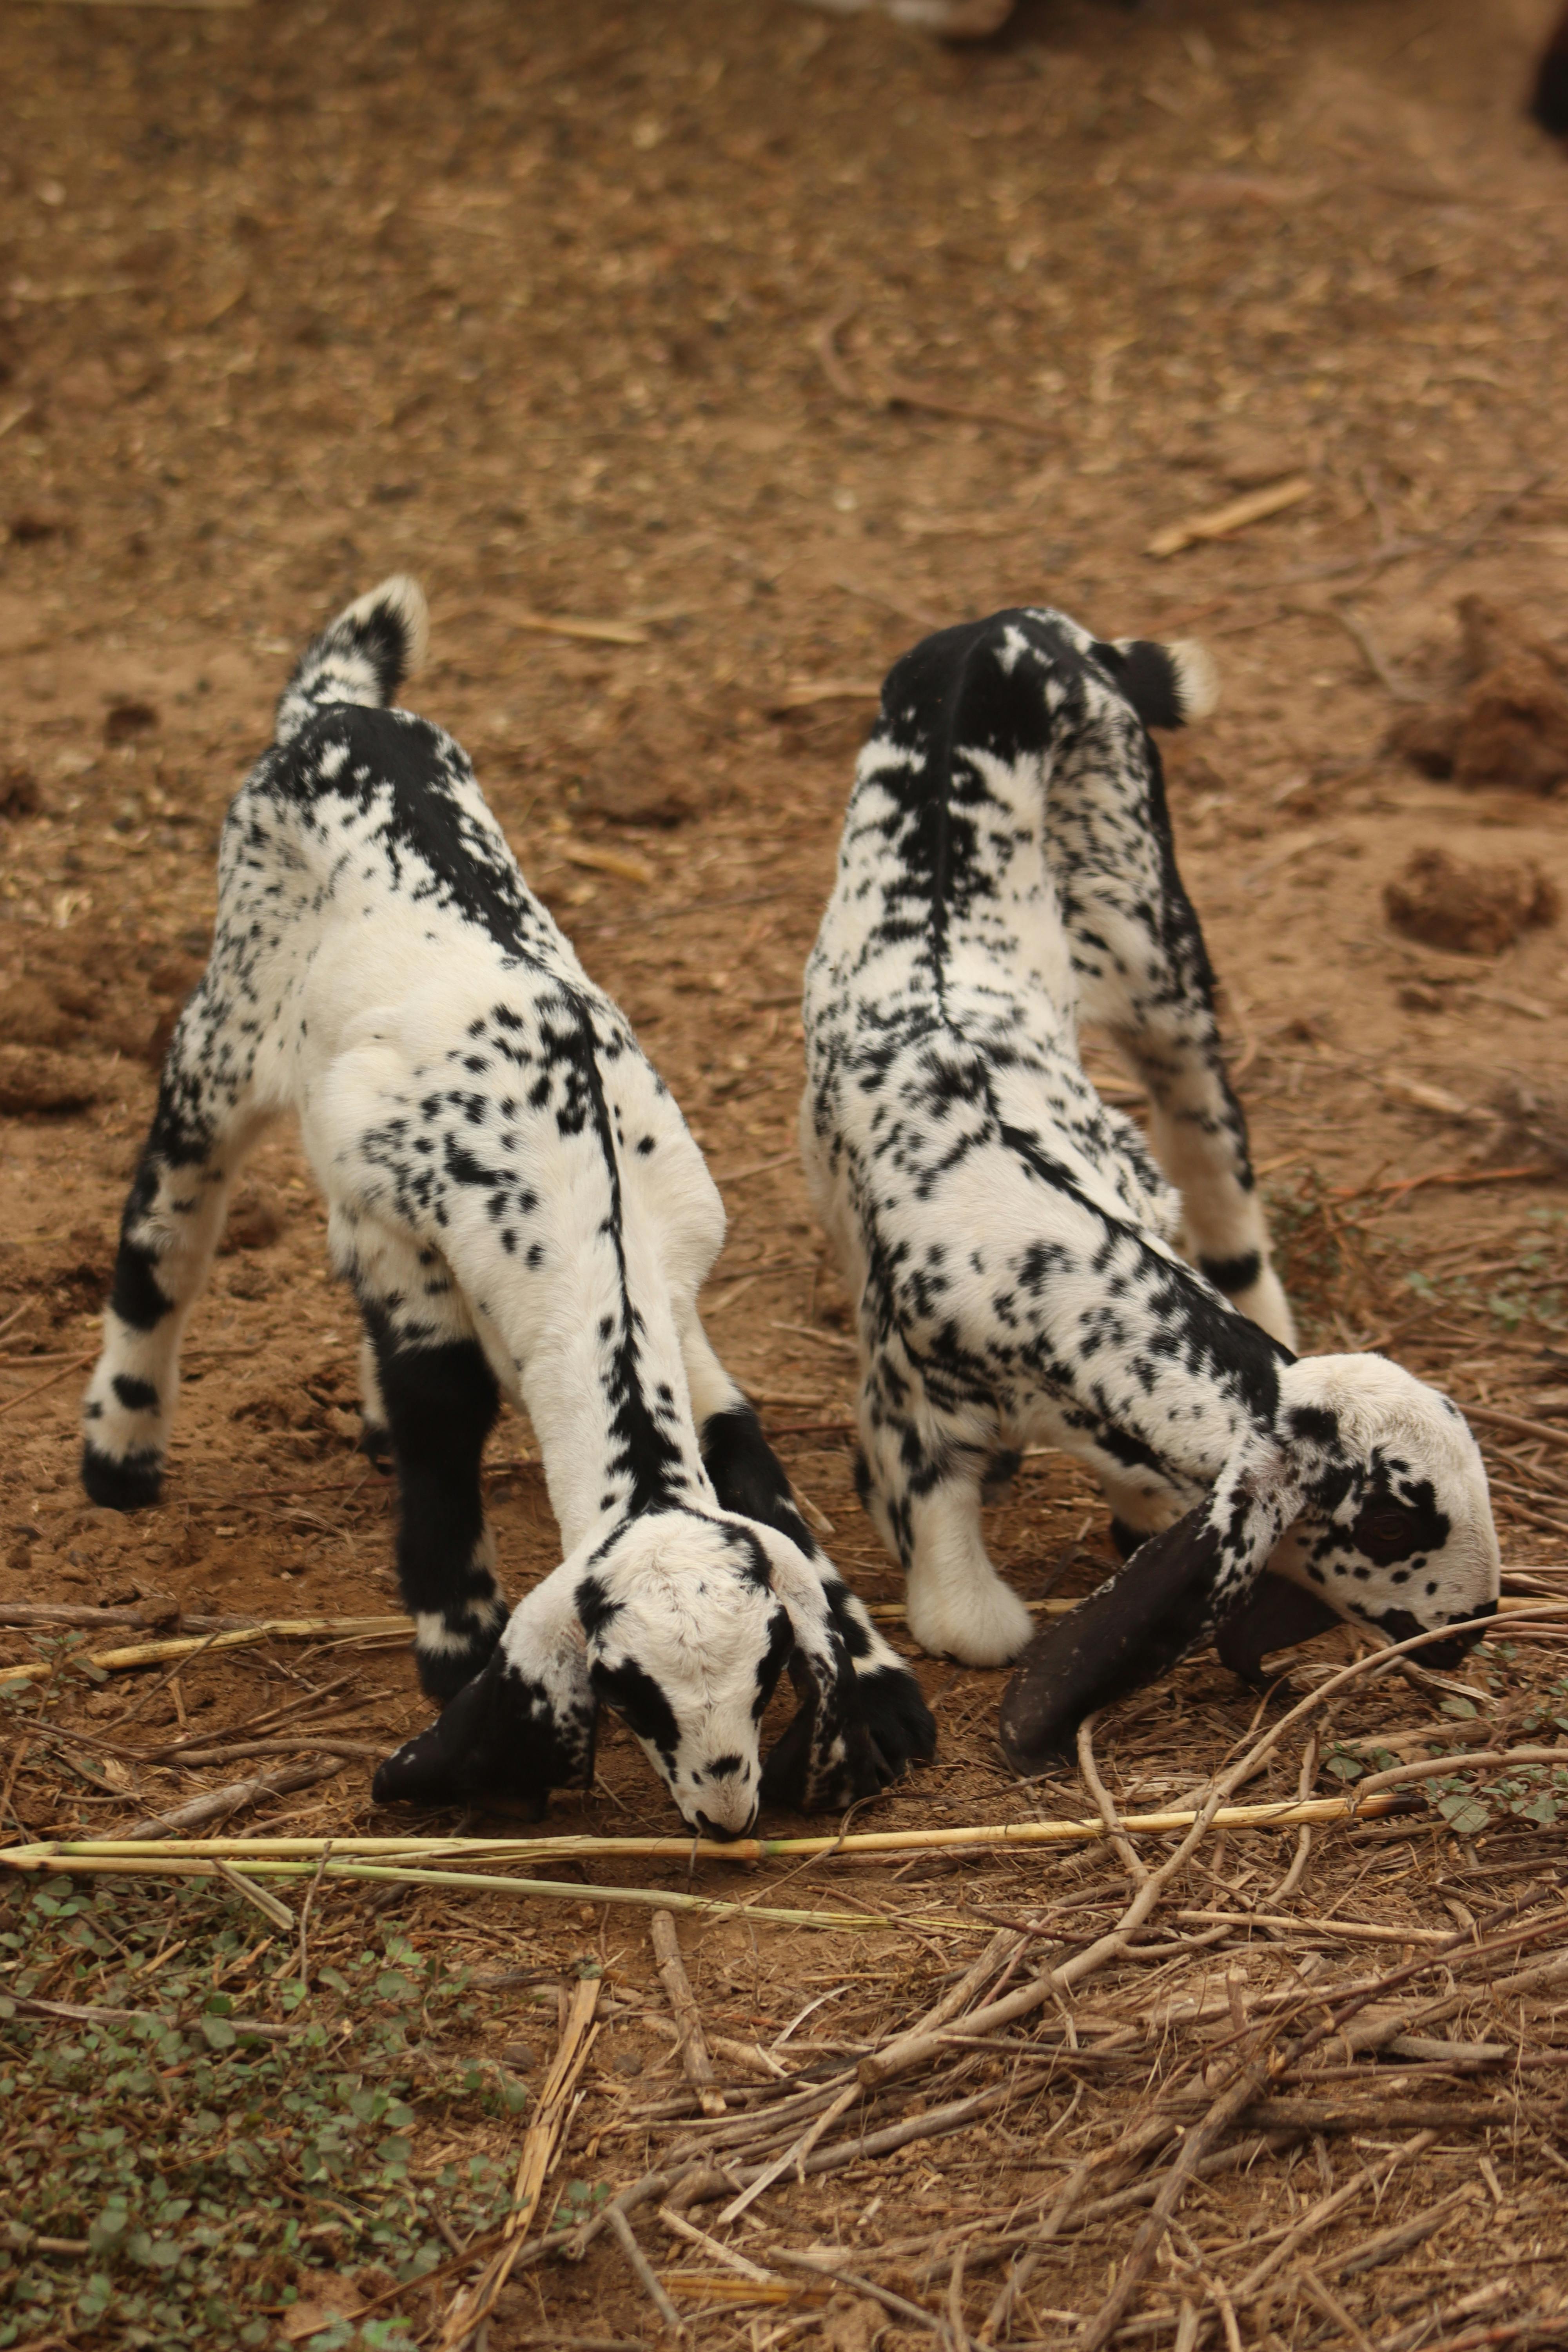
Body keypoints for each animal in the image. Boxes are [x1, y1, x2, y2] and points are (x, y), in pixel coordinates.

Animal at [81, 577, 933, 1835]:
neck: (589, 1206)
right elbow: (444, 1401)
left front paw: (879, 1698)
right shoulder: (395, 1229)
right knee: (168, 1221)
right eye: (630, 1693)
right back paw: (122, 1452)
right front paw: (454, 1639)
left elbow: (739, 1448)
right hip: (228, 1025)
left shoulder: (675, 1277)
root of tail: (337, 714)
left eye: (769, 1668)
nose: (725, 1810)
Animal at [799, 607, 1500, 1770]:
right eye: (1399, 1522)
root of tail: (1014, 628)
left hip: (1153, 942)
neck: (1036, 1248)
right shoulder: (909, 1420)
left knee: (1212, 1143)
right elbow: (974, 1625)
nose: (1472, 1631)